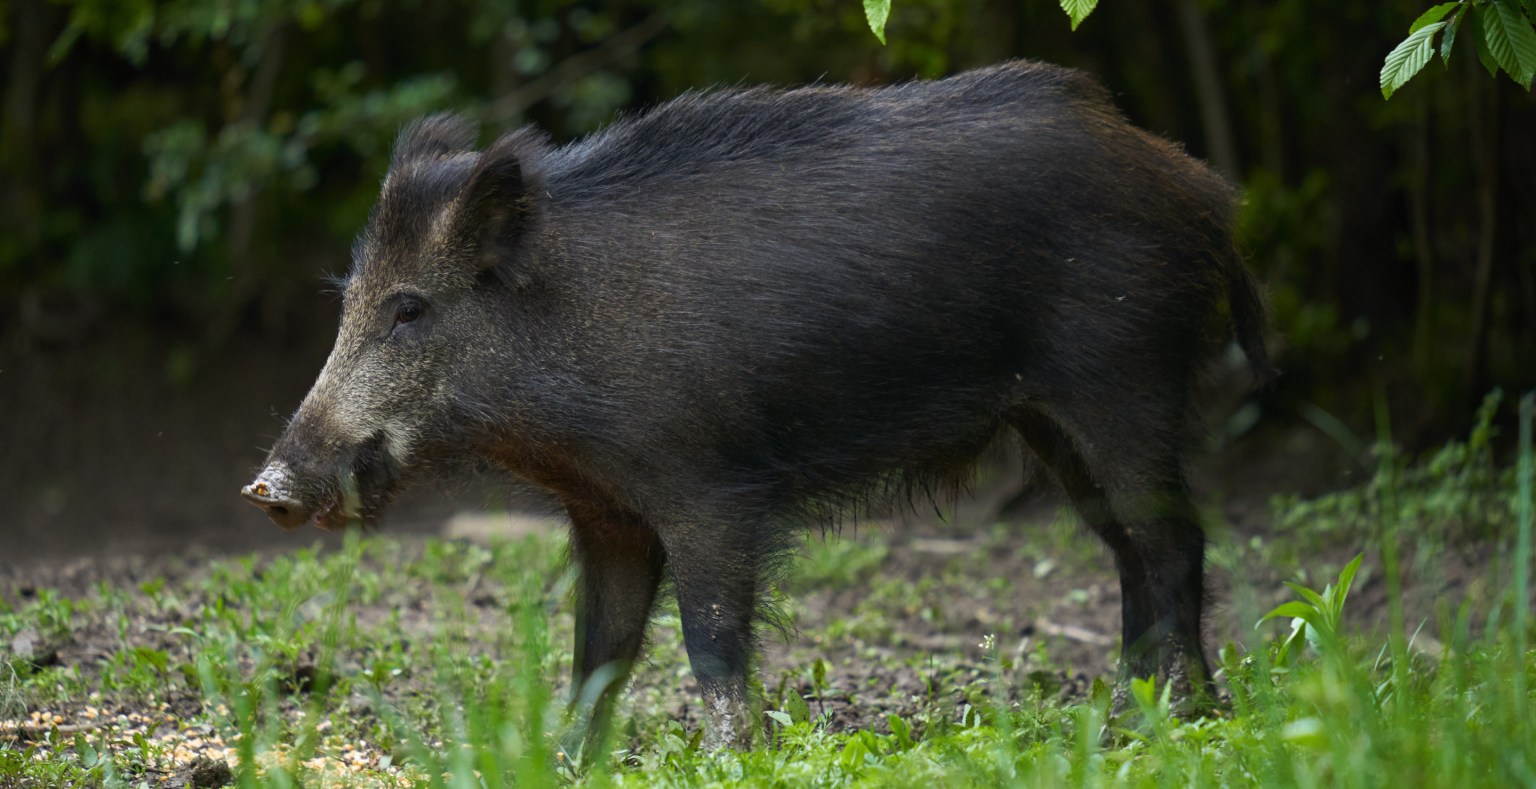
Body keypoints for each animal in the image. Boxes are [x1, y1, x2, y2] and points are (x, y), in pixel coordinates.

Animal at [242, 60, 1272, 749]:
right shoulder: (605, 511)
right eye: (351, 297)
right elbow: (599, 650)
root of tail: (1209, 192)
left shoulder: (709, 490)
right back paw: (1132, 710)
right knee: (1129, 547)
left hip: (1125, 380)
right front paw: (569, 757)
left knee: (1175, 538)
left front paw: (735, 756)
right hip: (1052, 424)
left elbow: (709, 641)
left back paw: (1188, 715)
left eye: (411, 307)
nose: (266, 488)